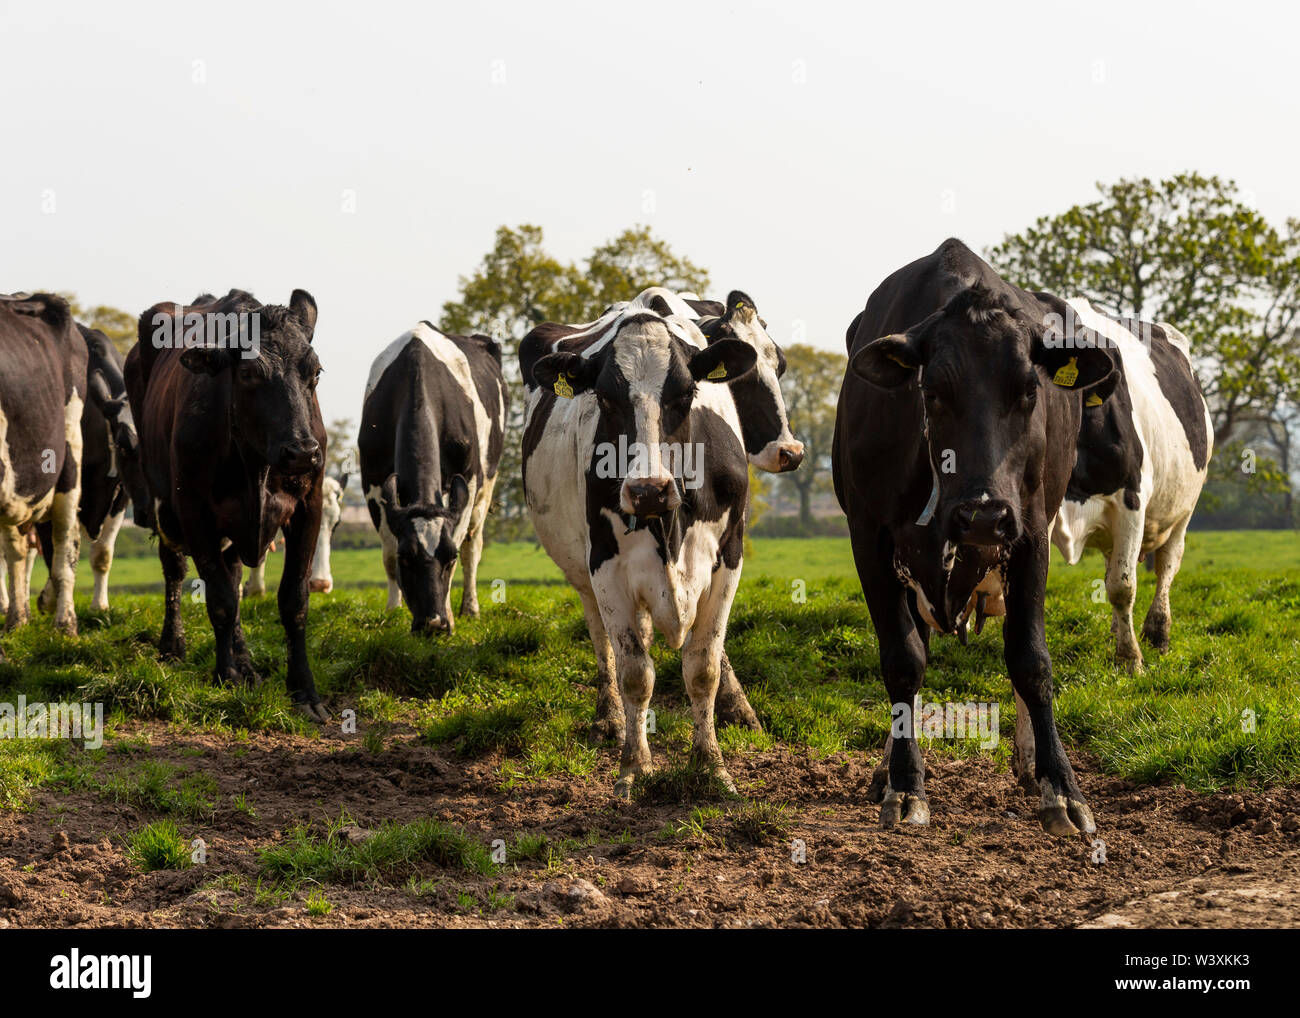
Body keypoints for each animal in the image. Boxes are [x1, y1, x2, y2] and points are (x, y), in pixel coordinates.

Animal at [124, 288, 330, 721]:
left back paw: (247, 661)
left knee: (233, 573)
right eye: (250, 374)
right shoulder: (193, 511)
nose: (302, 452)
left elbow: (293, 599)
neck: (256, 465)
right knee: (175, 570)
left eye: (315, 372)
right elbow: (218, 598)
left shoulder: (310, 505)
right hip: (162, 503)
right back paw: (173, 647)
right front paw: (225, 675)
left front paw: (303, 690)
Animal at [359, 323, 506, 634]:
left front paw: (451, 613)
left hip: (487, 485)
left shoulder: (468, 482)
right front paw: (392, 610)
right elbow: (388, 552)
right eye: (406, 557)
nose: (434, 624)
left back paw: (470, 608)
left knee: (473, 546)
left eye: (448, 557)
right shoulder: (372, 481)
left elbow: (460, 544)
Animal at [520, 287, 803, 733]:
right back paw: (610, 713)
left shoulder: (729, 551)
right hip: (581, 568)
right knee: (602, 635)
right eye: (603, 397)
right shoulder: (603, 561)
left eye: (780, 365)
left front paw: (737, 707)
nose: (790, 451)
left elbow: (707, 651)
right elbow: (631, 657)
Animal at [833, 239, 1120, 837]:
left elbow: (1031, 660)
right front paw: (905, 783)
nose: (983, 516)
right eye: (932, 391)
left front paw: (1061, 787)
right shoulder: (869, 537)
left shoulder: (1030, 531)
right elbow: (903, 659)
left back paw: (1028, 763)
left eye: (1030, 390)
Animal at [1045, 299, 1213, 668]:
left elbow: (1123, 587)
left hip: (1183, 510)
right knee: (1114, 563)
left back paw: (1157, 632)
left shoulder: (1131, 501)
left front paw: (1130, 660)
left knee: (1167, 563)